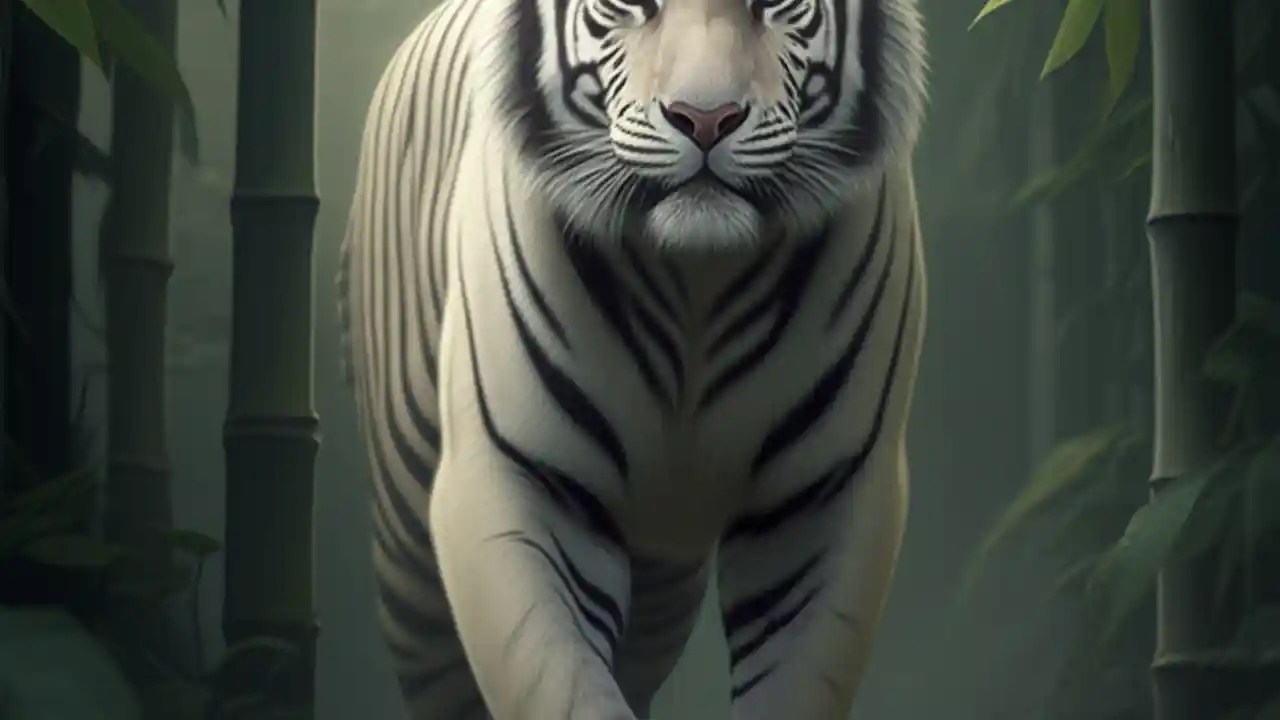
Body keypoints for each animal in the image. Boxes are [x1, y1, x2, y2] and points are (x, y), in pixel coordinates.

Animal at [335, 0, 927, 716]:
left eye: (773, 5)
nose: (706, 119)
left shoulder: (826, 496)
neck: (698, 280)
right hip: (410, 565)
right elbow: (557, 684)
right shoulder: (522, 479)